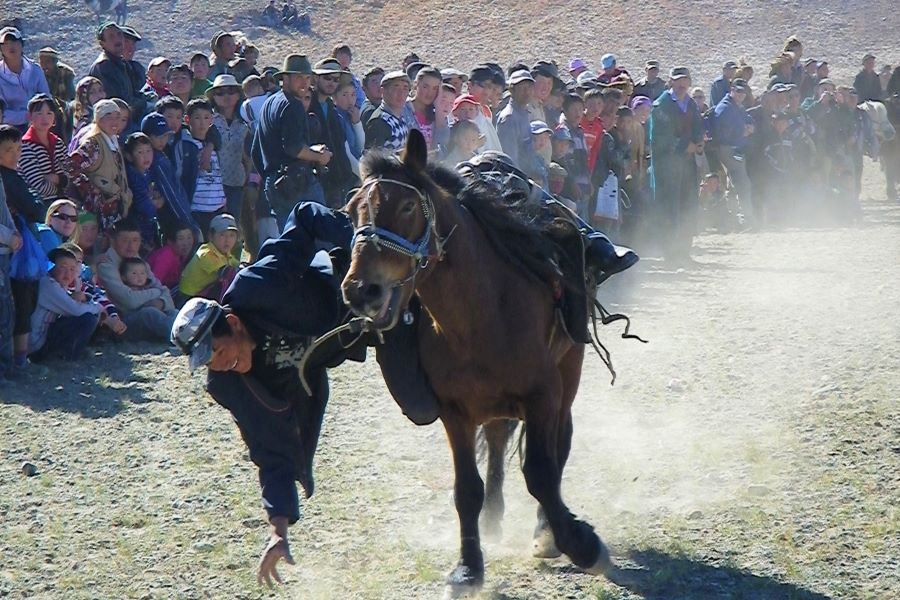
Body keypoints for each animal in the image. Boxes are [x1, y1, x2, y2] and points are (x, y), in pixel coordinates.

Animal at [341, 130, 611, 597]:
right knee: (501, 440)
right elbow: (466, 489)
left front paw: (579, 542)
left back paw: (545, 529)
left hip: (568, 371)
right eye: (353, 210)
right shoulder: (455, 411)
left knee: (559, 443)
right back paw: (493, 516)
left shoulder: (543, 392)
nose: (361, 290)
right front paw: (468, 567)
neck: (479, 315)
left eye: (408, 206)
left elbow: (541, 471)